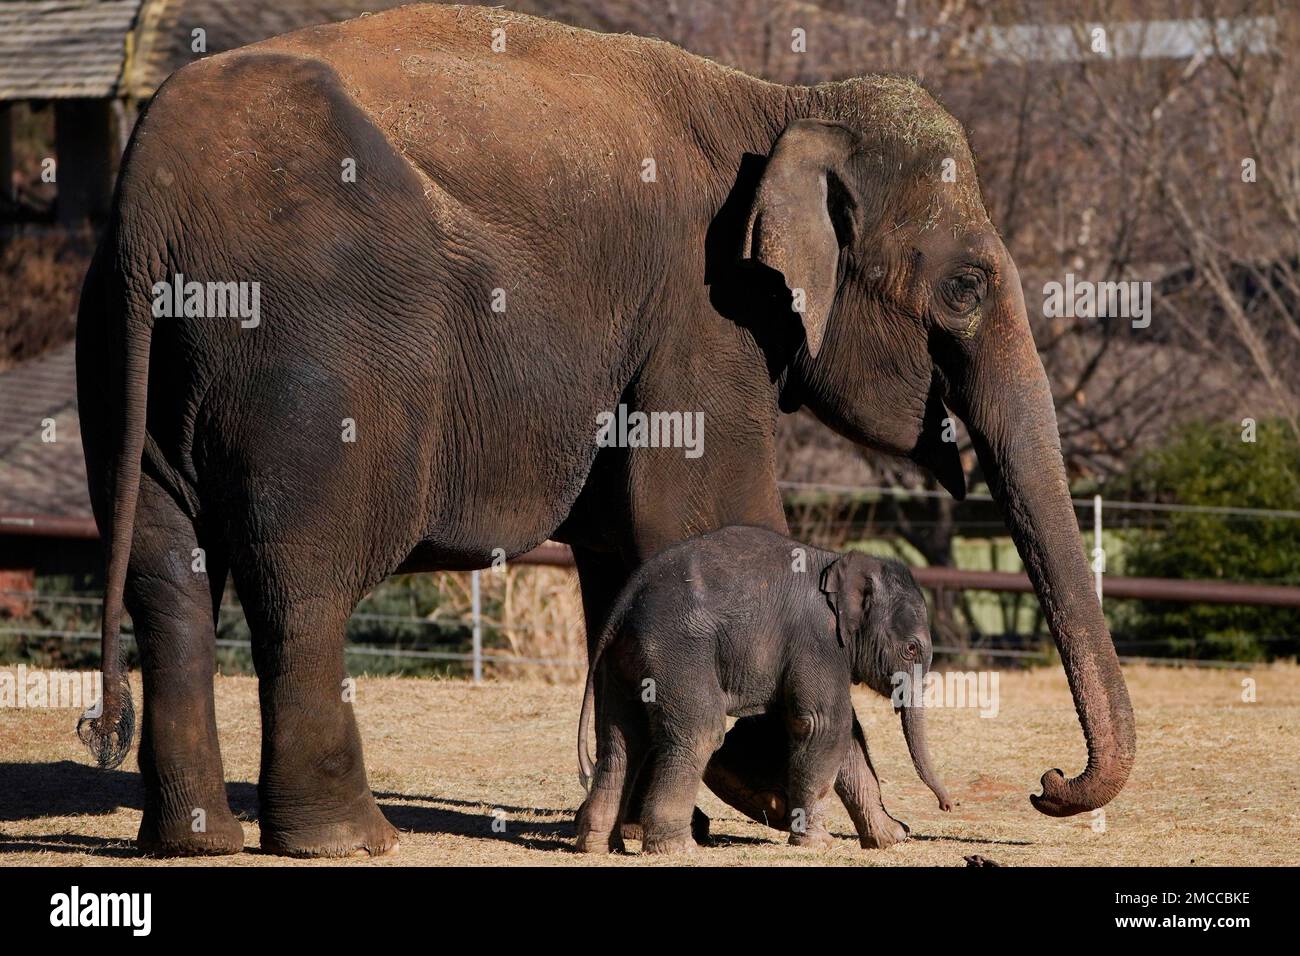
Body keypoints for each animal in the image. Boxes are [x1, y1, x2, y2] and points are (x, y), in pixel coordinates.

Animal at [575, 526, 950, 854]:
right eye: (911, 649)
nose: (947, 806)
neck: (837, 563)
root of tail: (624, 603)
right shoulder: (817, 642)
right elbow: (824, 723)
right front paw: (819, 844)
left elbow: (847, 736)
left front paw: (890, 838)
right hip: (677, 651)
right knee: (699, 732)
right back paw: (677, 849)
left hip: (624, 664)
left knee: (622, 741)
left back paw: (599, 846)